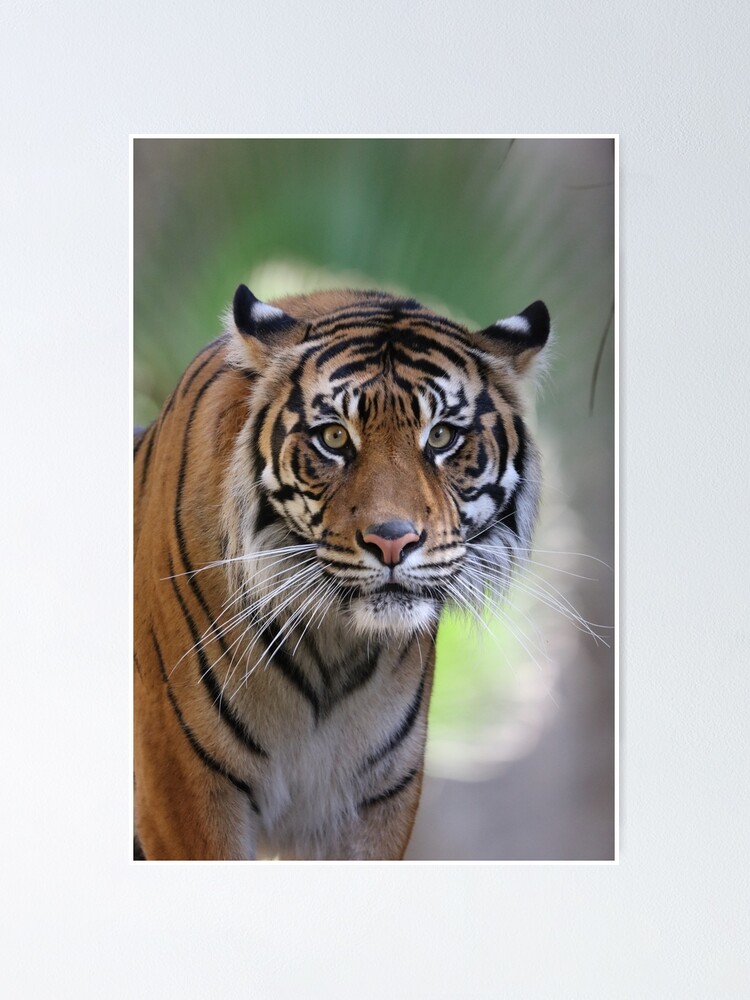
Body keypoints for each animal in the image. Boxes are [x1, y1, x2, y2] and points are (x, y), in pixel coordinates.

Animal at [133, 284, 550, 860]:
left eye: (442, 436)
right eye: (333, 438)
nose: (393, 539)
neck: (334, 648)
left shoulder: (375, 801)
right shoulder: (186, 788)